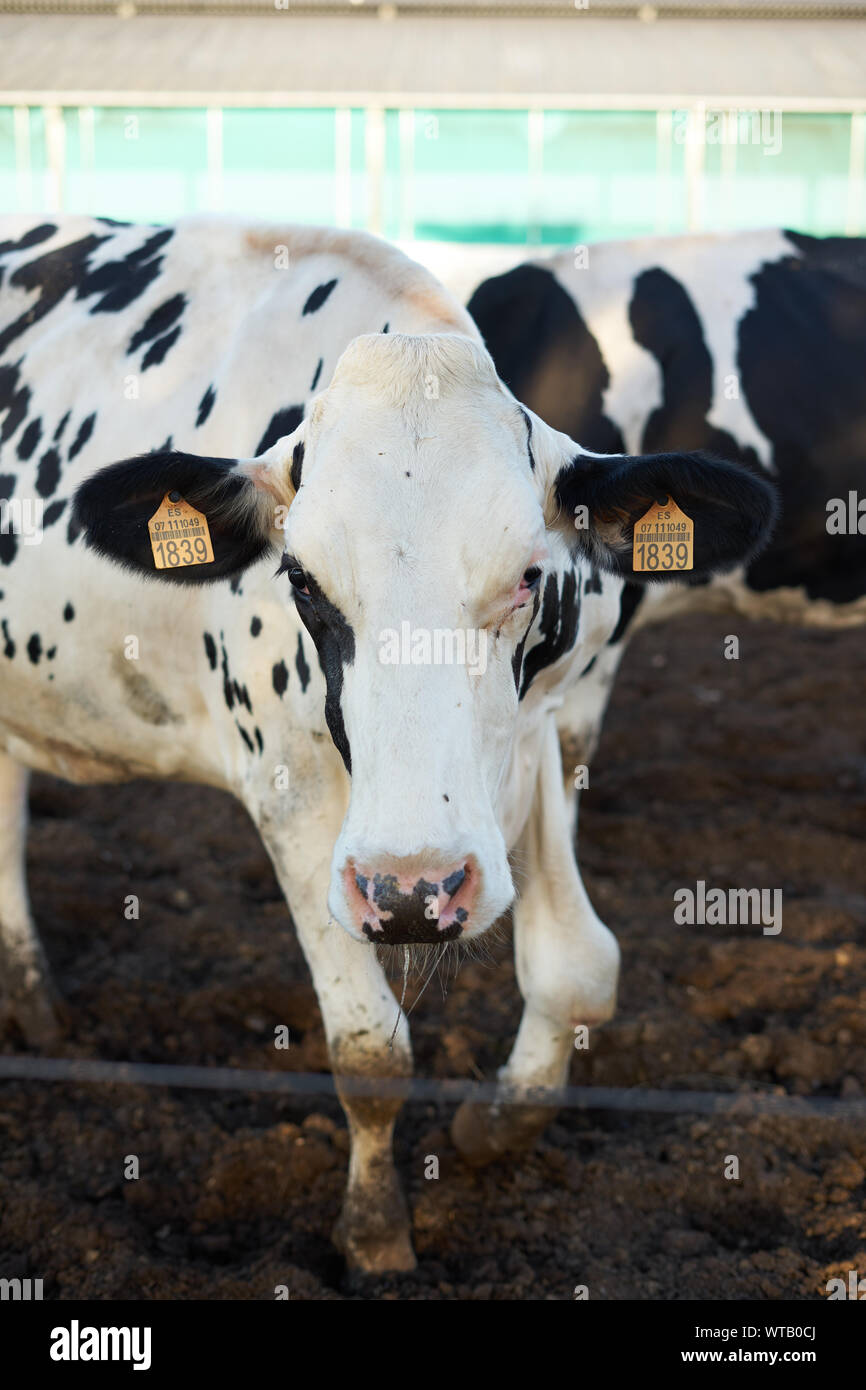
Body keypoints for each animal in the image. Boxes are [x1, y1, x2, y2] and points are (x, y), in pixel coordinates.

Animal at [0, 216, 775, 1272]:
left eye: (529, 574)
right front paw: (374, 1231)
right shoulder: (291, 794)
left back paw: (36, 1002)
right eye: (300, 578)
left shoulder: (536, 737)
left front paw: (496, 1126)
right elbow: (370, 1047)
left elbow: (580, 970)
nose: (415, 888)